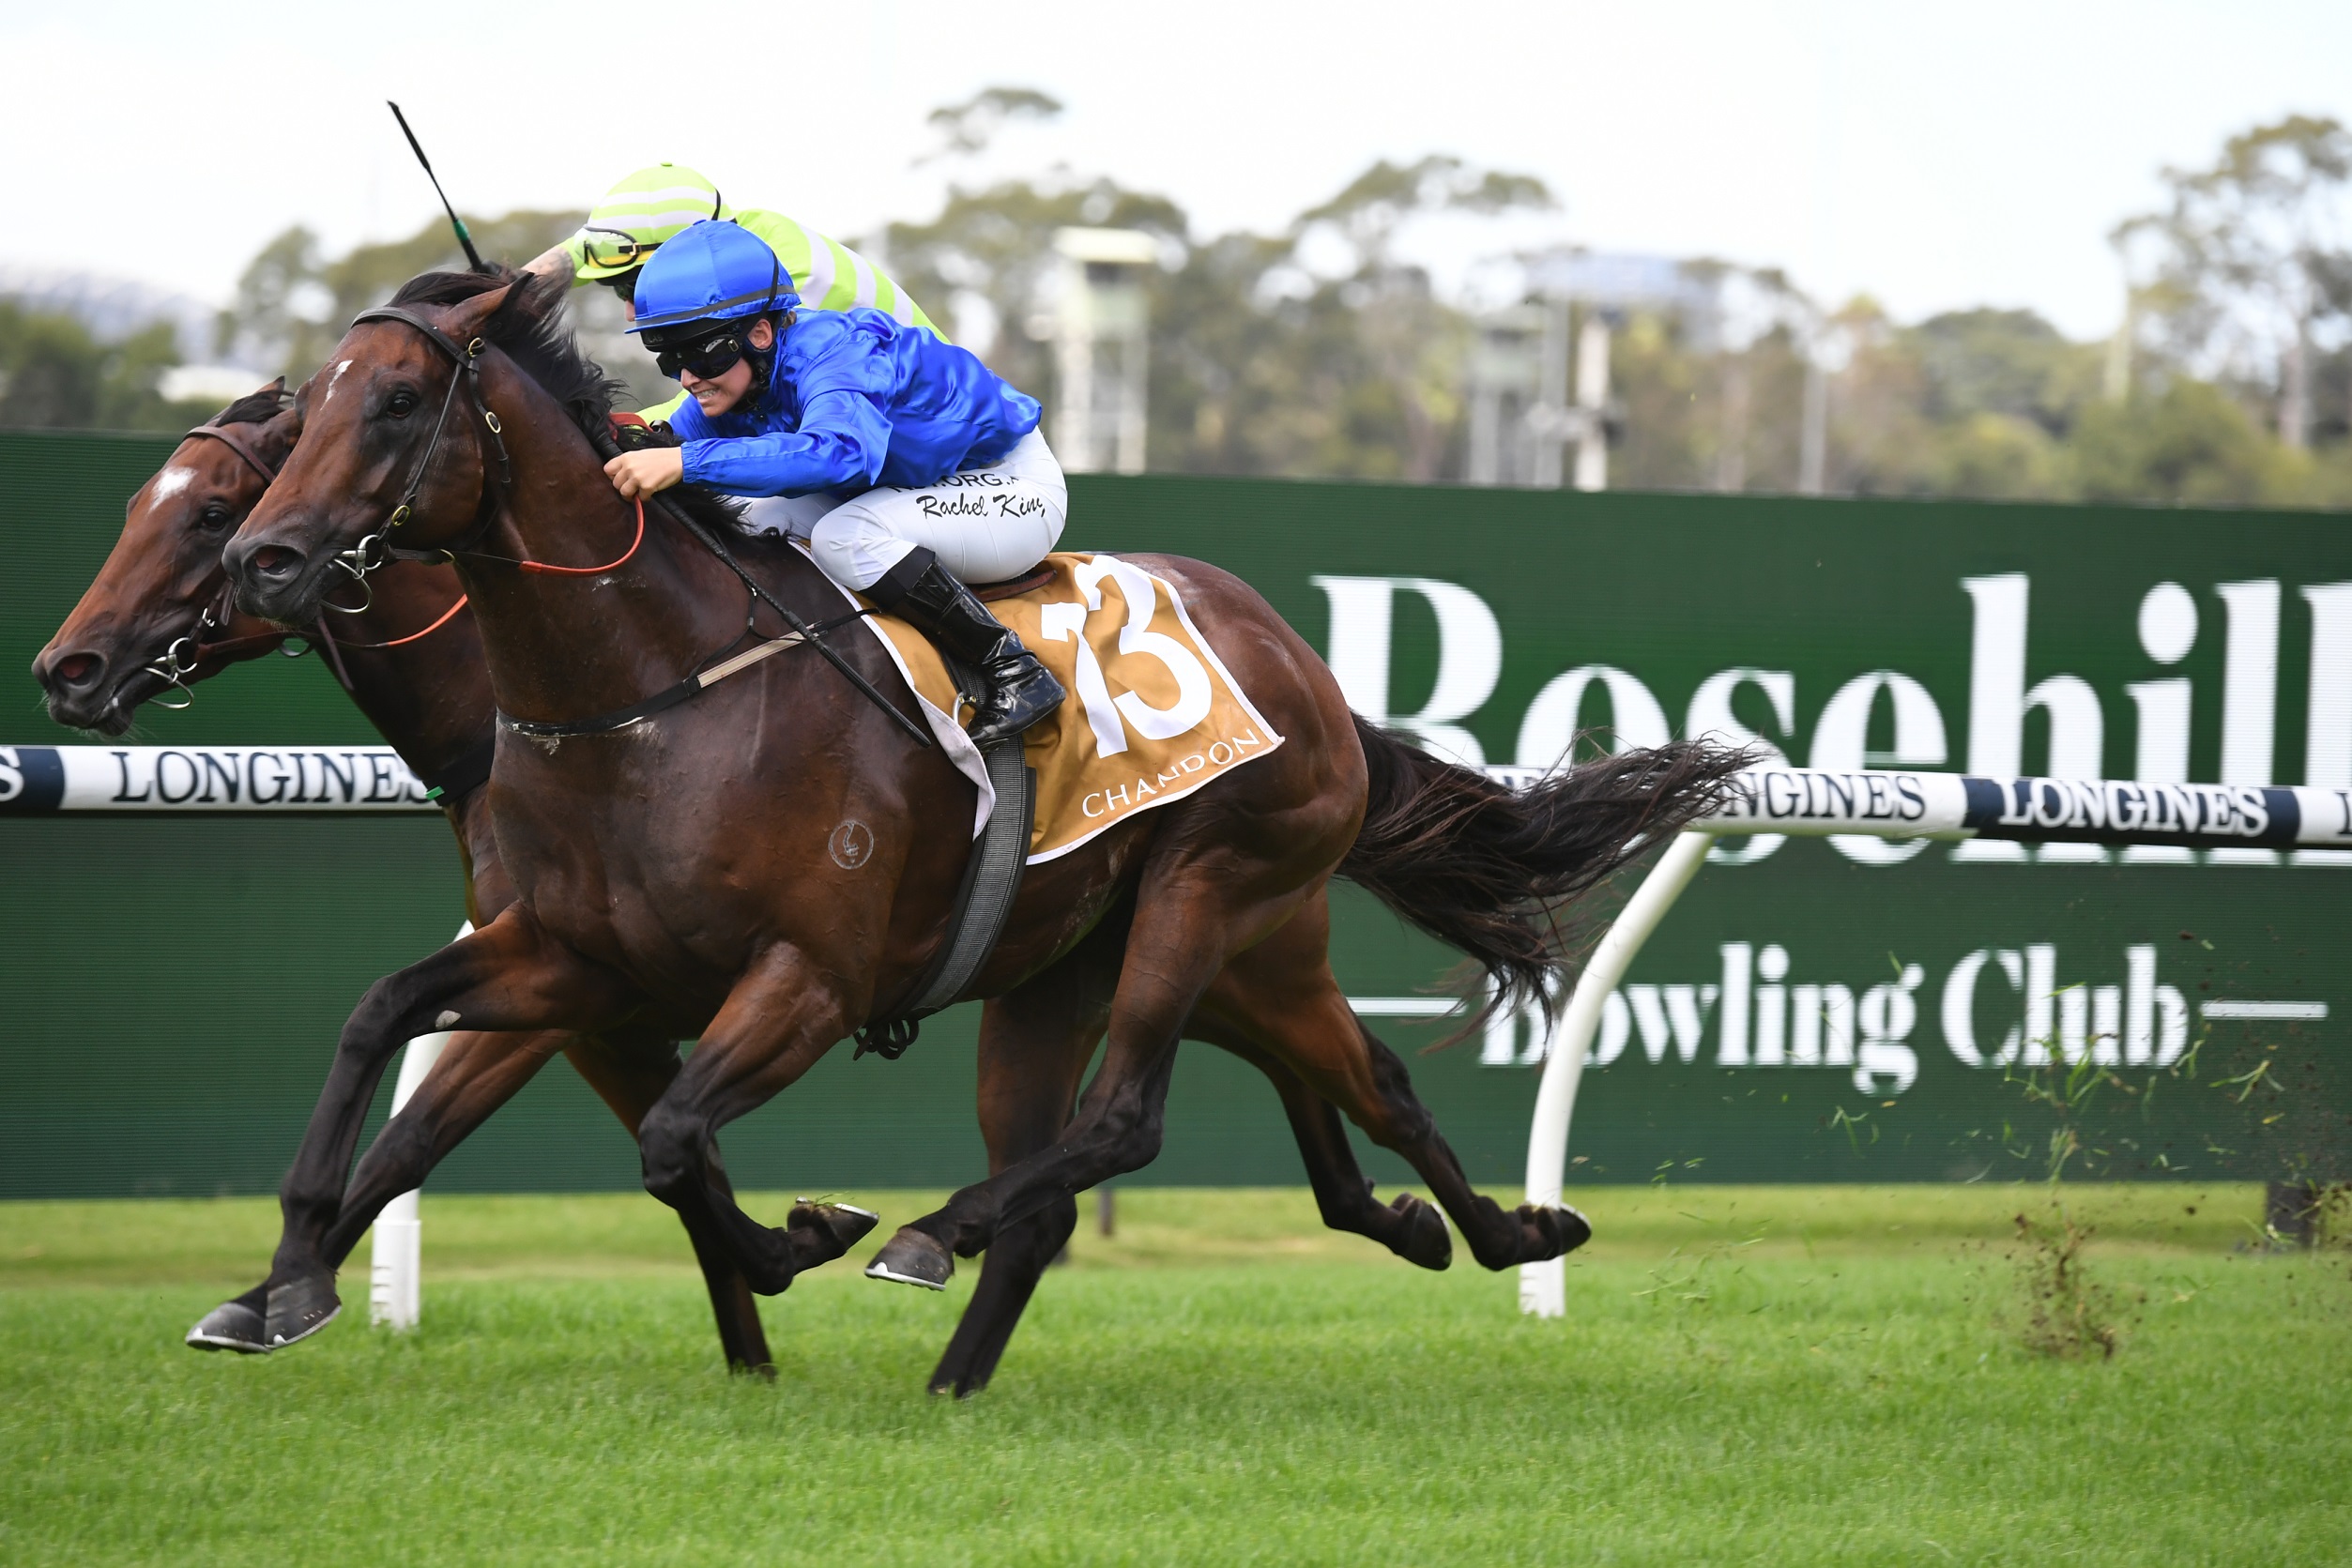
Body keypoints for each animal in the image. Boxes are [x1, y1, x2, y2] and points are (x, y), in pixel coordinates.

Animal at [217, 265, 1739, 1391]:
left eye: (396, 400)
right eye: (297, 421)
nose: (263, 557)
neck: (649, 698)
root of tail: (1301, 664)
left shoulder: (811, 980)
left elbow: (671, 1137)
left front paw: (804, 1235)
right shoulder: (570, 954)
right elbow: (382, 1016)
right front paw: (278, 1283)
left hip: (1205, 893)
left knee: (1119, 1123)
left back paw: (930, 1231)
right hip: (1153, 961)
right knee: (1359, 1085)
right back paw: (1486, 1227)